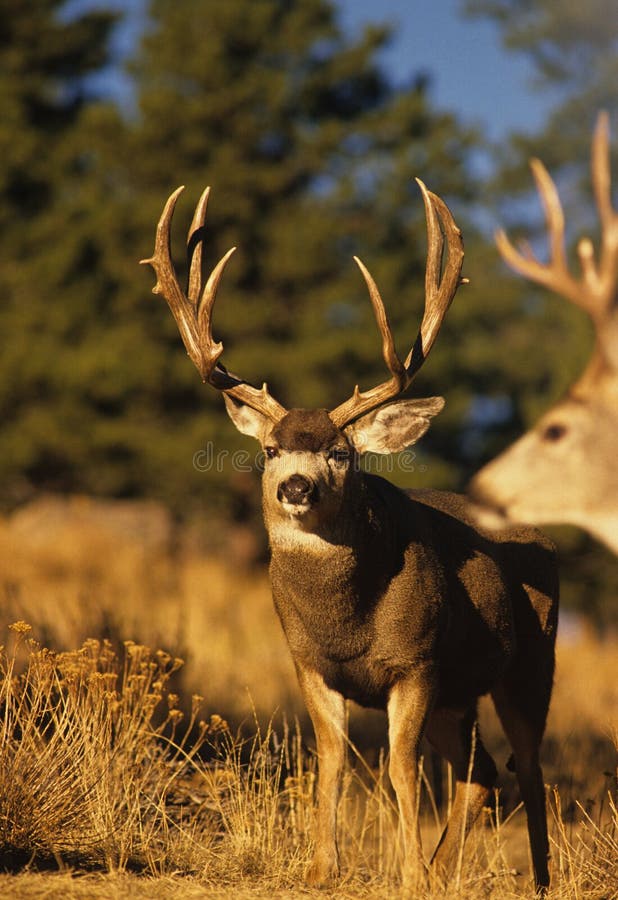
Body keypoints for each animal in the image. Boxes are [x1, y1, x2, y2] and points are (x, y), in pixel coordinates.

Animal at [141, 179, 559, 893]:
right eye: (272, 449)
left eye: (340, 453)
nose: (296, 488)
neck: (346, 620)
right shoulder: (310, 663)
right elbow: (332, 762)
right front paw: (321, 868)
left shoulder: (416, 664)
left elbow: (398, 771)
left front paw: (408, 878)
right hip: (460, 694)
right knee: (482, 777)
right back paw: (450, 871)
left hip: (532, 665)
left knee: (527, 769)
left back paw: (538, 880)